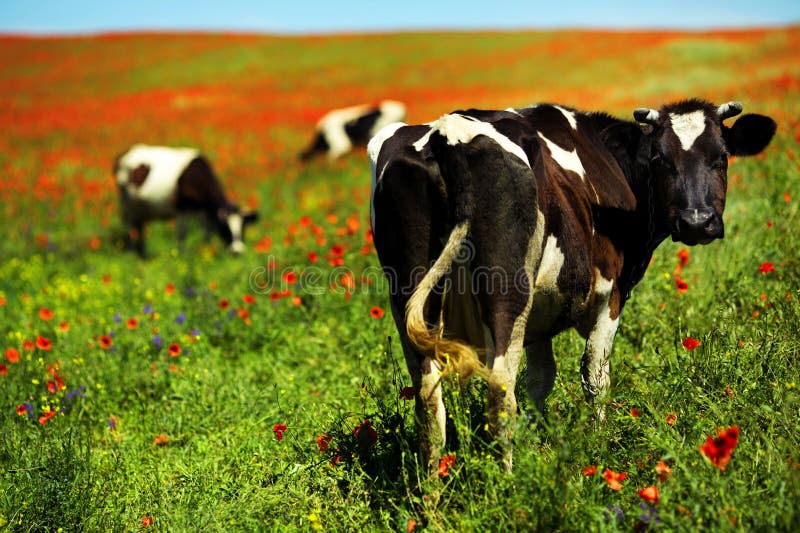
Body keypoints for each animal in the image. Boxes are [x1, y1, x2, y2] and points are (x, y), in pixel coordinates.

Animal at [114, 144, 258, 257]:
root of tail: (125, 153)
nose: (238, 252)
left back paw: (142, 253)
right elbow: (182, 234)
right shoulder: (180, 209)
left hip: (139, 208)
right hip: (127, 205)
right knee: (131, 229)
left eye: (243, 228)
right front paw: (181, 255)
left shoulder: (205, 214)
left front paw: (206, 251)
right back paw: (132, 254)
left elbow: (207, 234)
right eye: (226, 229)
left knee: (139, 228)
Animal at [369, 99, 775, 473]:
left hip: (408, 295)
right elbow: (594, 372)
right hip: (506, 291)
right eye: (660, 158)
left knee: (428, 397)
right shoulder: (611, 293)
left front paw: (537, 436)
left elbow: (540, 379)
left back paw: (430, 493)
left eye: (721, 157)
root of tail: (446, 133)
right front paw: (599, 440)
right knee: (500, 390)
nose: (696, 221)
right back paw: (508, 483)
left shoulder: (539, 316)